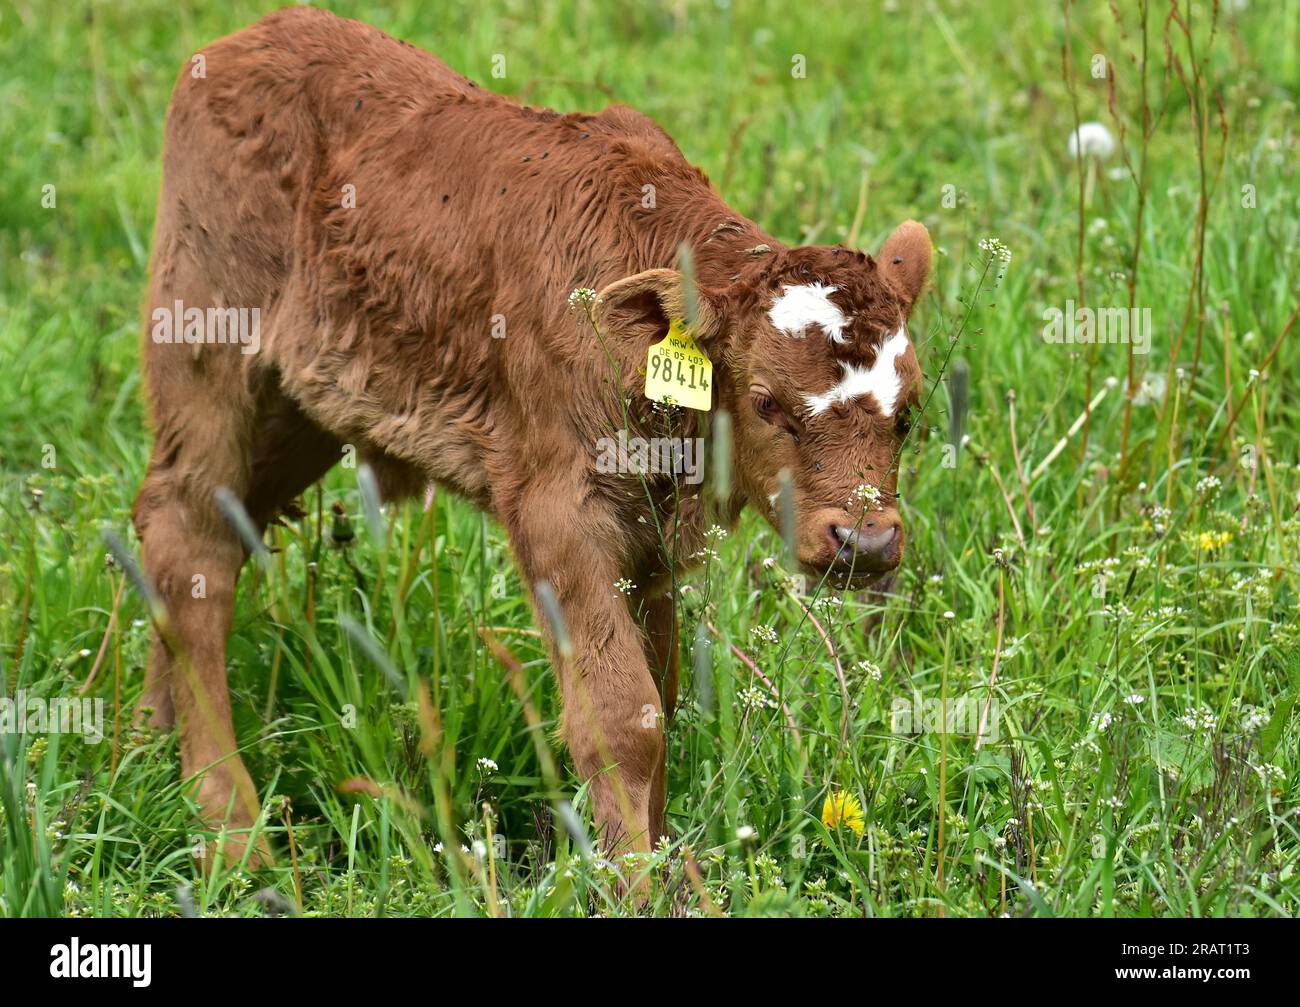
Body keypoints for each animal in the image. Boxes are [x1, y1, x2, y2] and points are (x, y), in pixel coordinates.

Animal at [133, 6, 931, 868]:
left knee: (193, 535)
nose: (863, 541)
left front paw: (661, 865)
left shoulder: (649, 538)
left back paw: (148, 737)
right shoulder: (560, 512)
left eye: (908, 413)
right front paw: (636, 882)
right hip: (208, 347)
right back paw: (227, 821)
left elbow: (660, 696)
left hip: (303, 405)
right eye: (765, 402)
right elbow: (621, 720)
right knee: (188, 535)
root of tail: (252, 37)